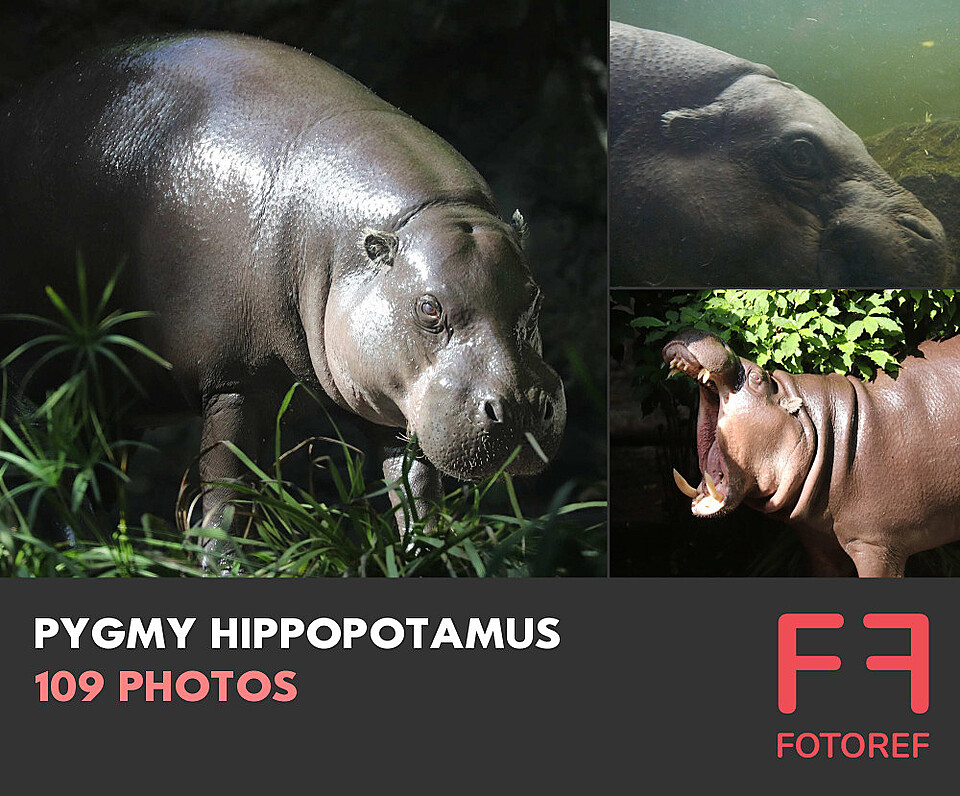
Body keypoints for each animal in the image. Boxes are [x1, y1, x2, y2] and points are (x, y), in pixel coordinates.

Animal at [0, 33, 566, 548]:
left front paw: (429, 552)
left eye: (537, 298)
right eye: (429, 308)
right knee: (43, 457)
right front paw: (226, 562)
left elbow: (413, 484)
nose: (520, 407)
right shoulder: (234, 379)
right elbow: (227, 494)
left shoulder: (387, 395)